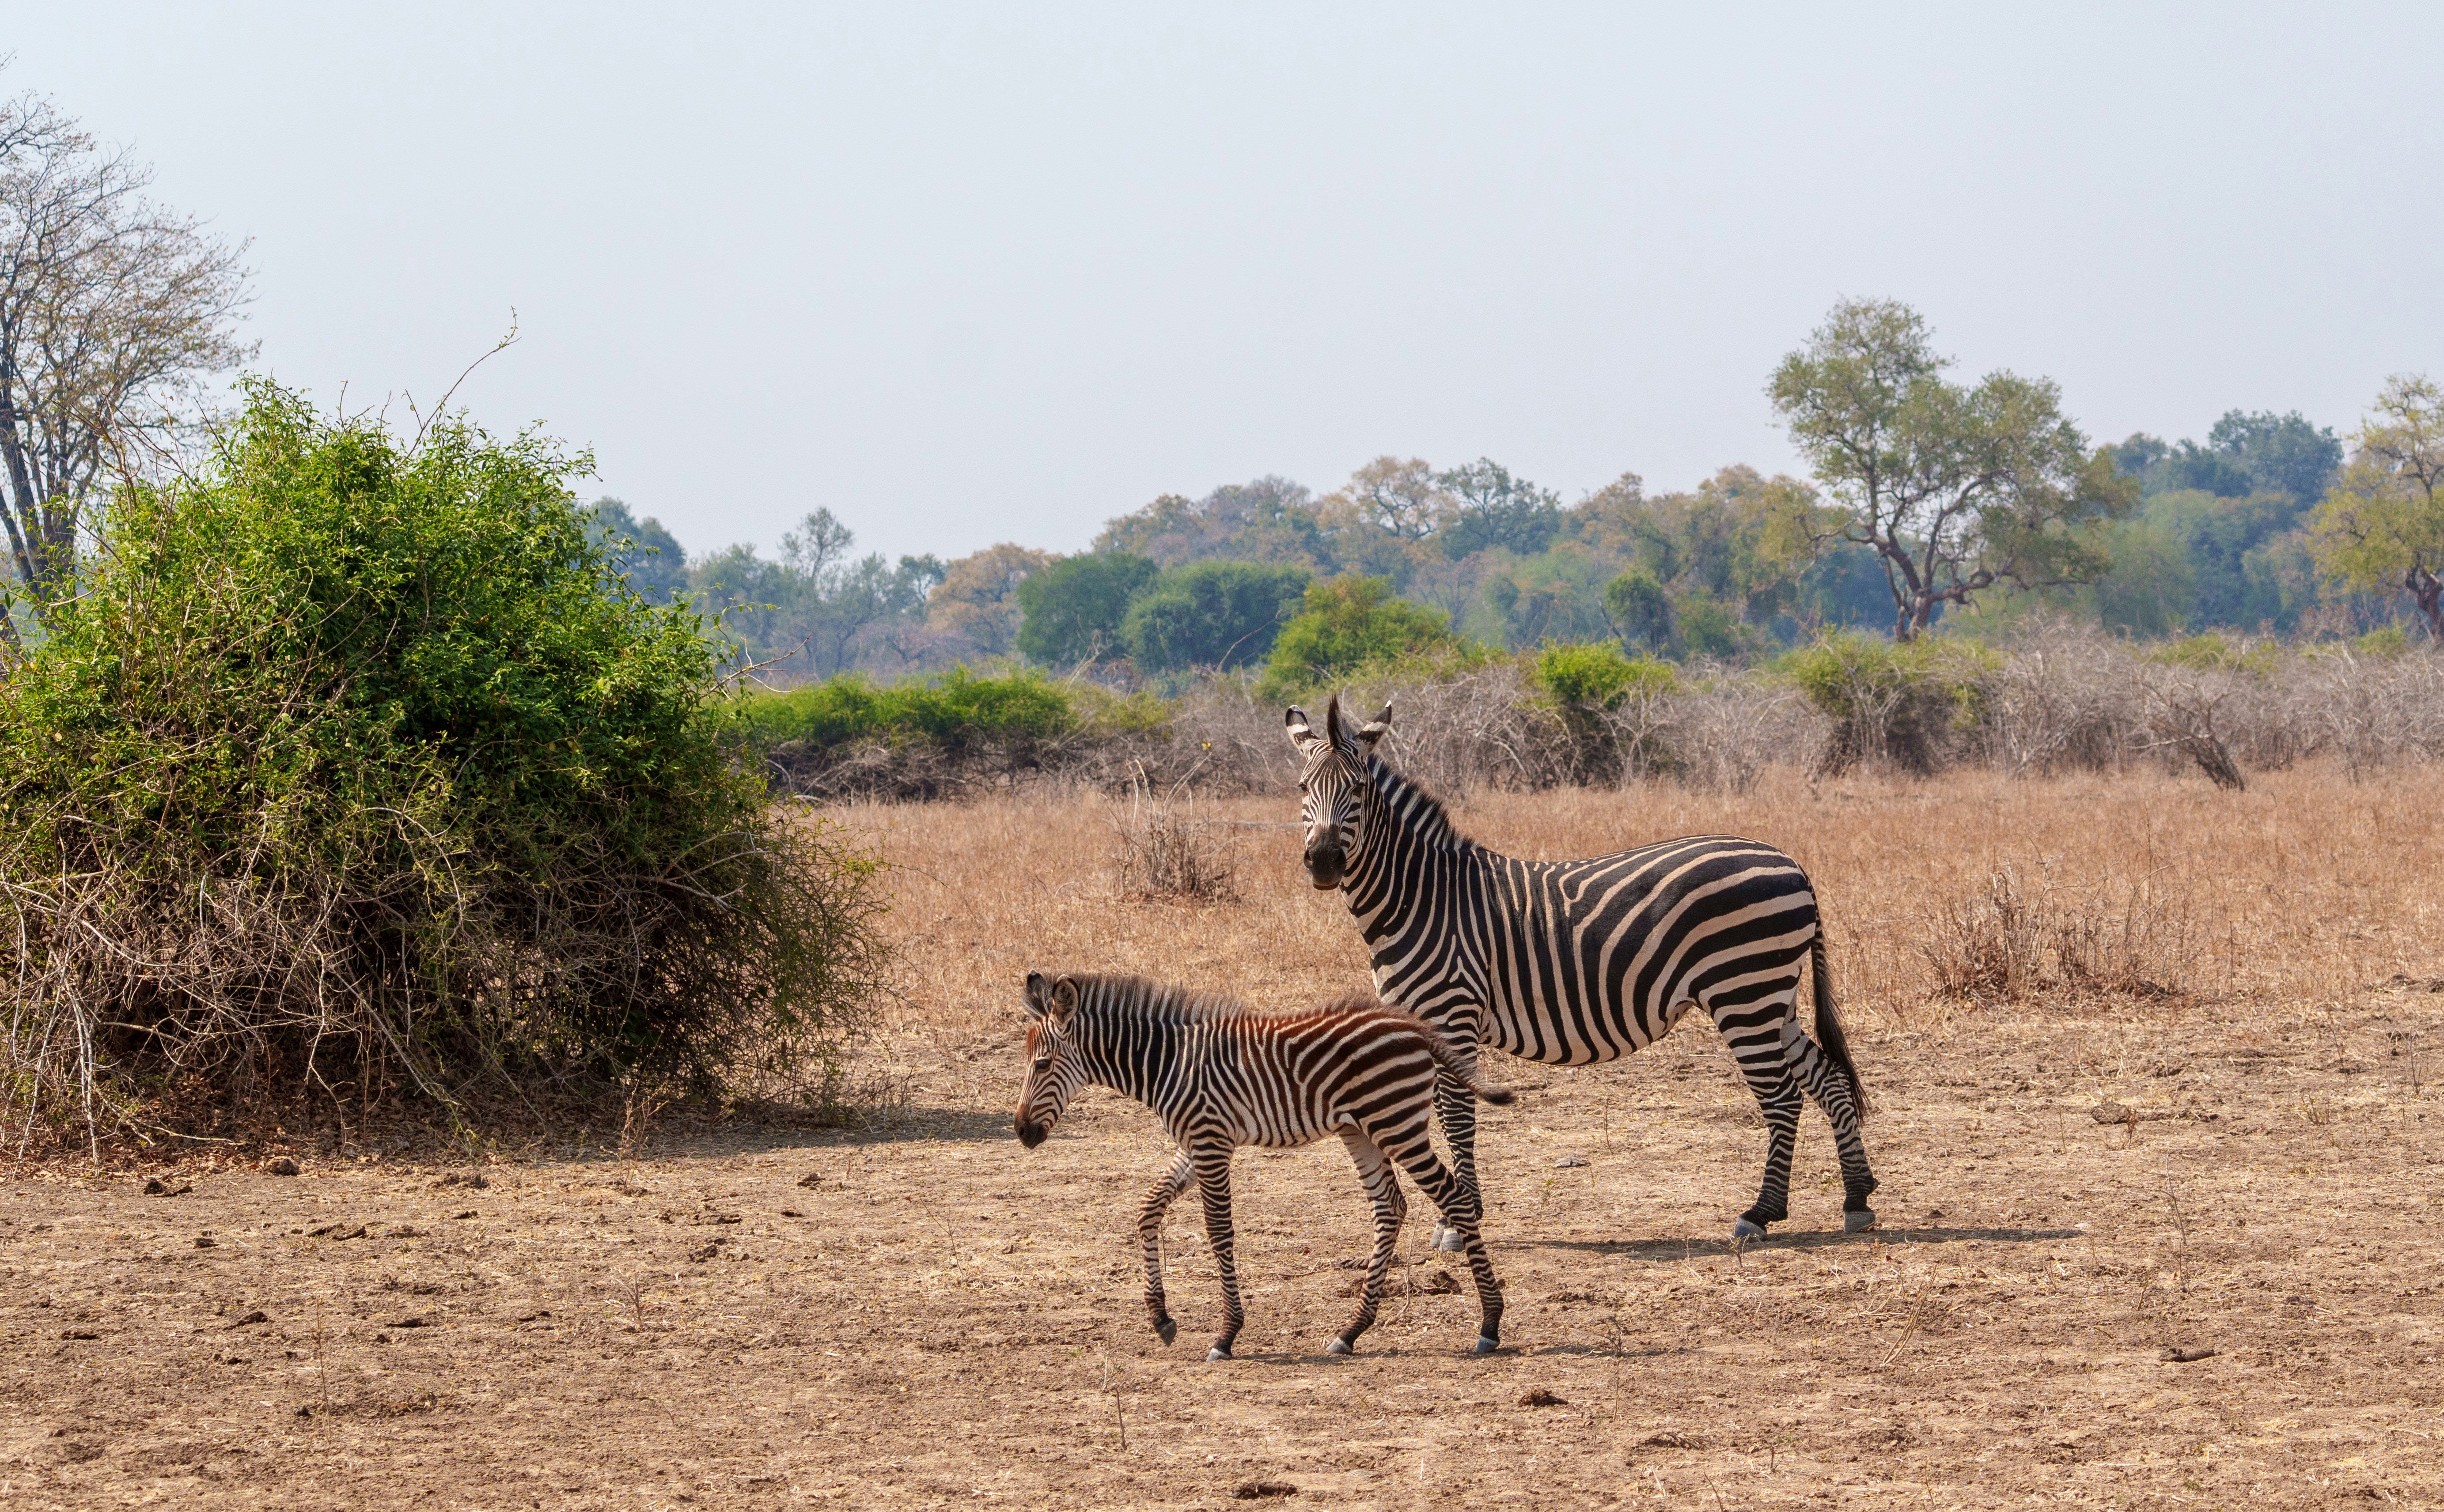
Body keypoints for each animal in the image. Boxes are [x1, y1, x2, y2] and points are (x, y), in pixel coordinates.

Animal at [1012, 970, 1512, 1359]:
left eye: (1042, 1065)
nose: (1020, 1132)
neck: (1168, 1063)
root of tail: (1412, 1026)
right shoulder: (1195, 1143)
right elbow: (1148, 1208)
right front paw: (1161, 1317)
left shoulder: (1211, 1142)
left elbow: (1219, 1231)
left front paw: (1227, 1334)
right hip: (1361, 1130)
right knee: (1390, 1206)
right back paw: (1350, 1331)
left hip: (1397, 1123)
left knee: (1454, 1198)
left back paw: (1489, 1324)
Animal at [1285, 695, 1878, 1246]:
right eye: (1301, 787)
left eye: (1359, 789)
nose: (1324, 862)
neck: (1420, 896)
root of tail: (1791, 862)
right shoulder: (1419, 1021)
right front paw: (1454, 1214)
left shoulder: (1452, 1013)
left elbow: (1457, 1115)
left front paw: (1458, 1220)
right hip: (1772, 997)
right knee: (1828, 1079)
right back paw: (1856, 1198)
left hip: (1743, 992)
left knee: (1782, 1098)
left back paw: (1760, 1212)